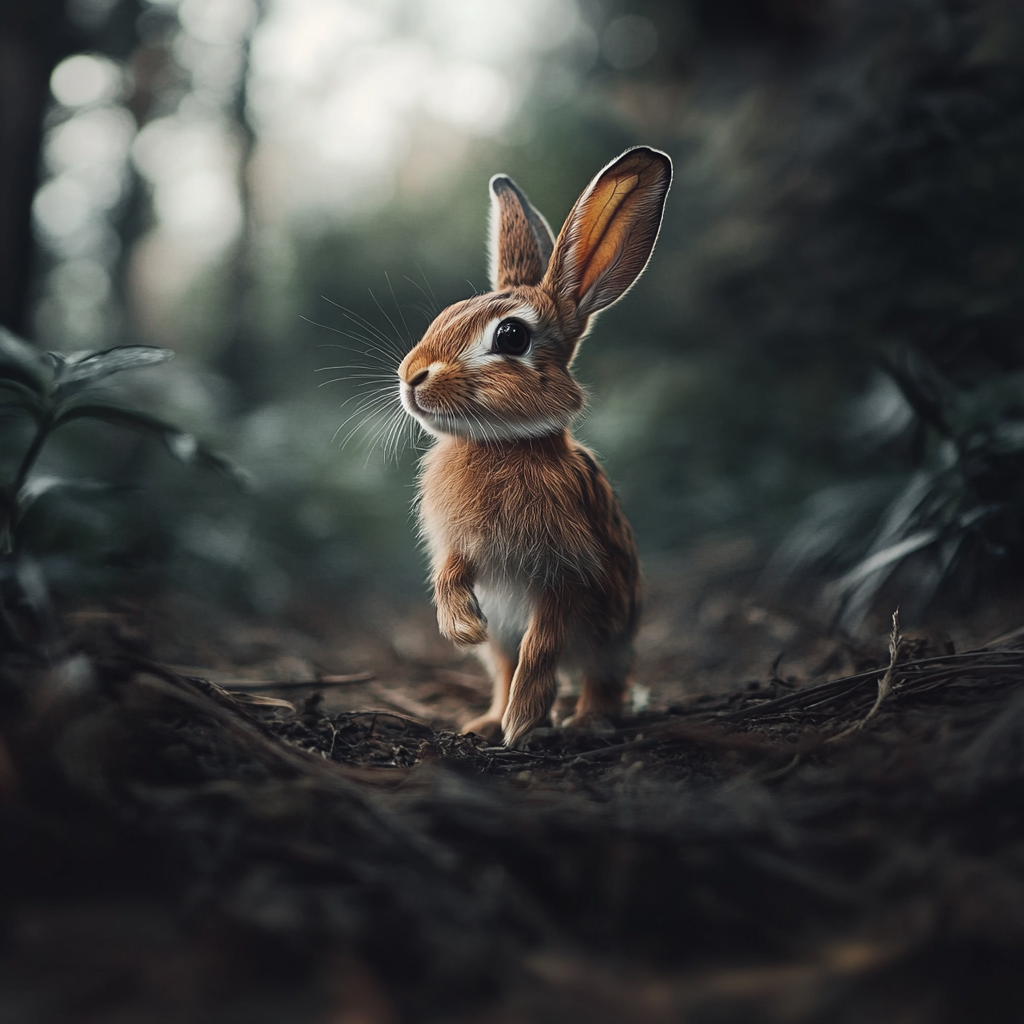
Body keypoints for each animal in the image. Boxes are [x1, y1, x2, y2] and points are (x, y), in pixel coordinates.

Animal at [397, 147, 672, 746]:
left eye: (511, 337)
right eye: (448, 313)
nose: (411, 376)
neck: (499, 443)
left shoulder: (565, 571)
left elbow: (543, 643)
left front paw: (525, 723)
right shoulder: (461, 548)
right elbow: (451, 573)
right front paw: (461, 627)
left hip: (609, 638)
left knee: (597, 679)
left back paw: (579, 723)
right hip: (506, 643)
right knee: (502, 667)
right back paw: (485, 723)